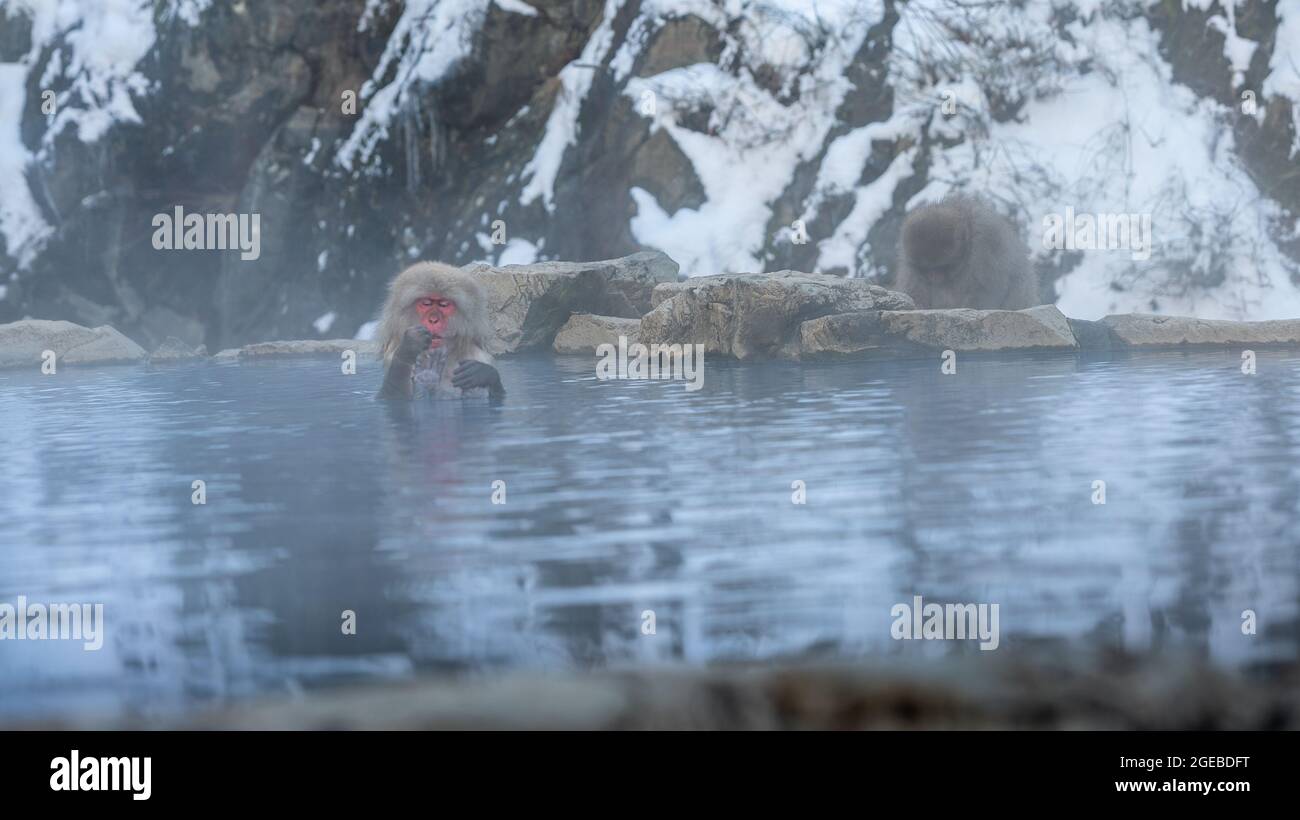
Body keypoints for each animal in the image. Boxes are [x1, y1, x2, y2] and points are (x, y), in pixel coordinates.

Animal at [375, 261, 504, 402]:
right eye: (426, 303)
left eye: (444, 304)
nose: (433, 320)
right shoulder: (390, 355)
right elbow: (389, 398)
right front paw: (408, 349)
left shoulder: (479, 356)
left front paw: (483, 374)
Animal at [894, 194, 1039, 310]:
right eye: (925, 269)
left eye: (942, 267)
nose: (933, 277)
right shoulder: (908, 258)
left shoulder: (988, 239)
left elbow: (989, 287)